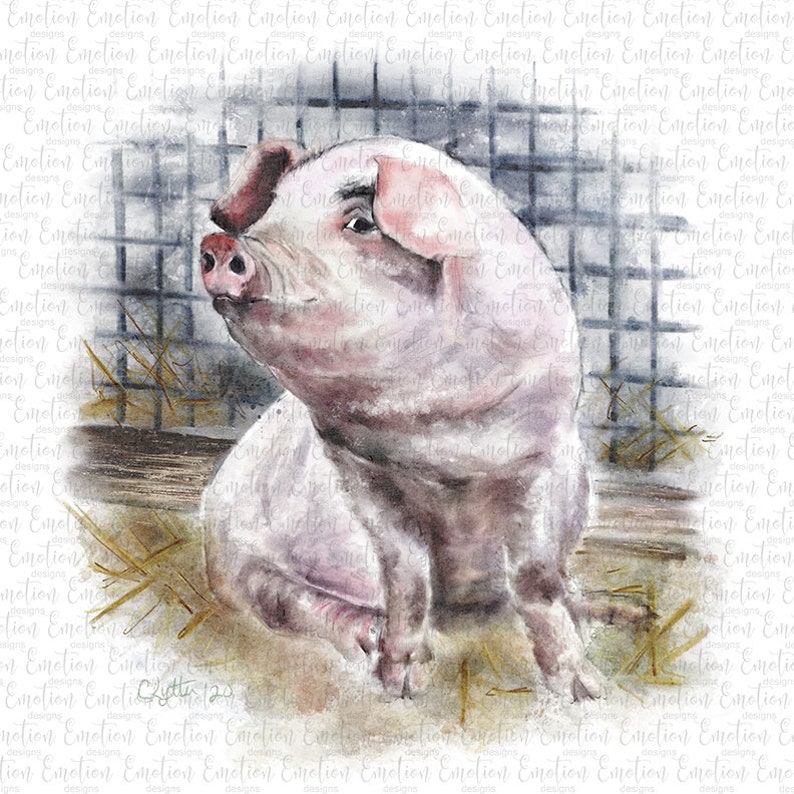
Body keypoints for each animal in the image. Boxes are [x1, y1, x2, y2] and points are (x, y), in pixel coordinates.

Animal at [199, 136, 601, 701]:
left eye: (360, 223)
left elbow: (535, 579)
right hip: (236, 561)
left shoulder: (540, 454)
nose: (219, 244)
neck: (435, 435)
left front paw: (583, 693)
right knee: (284, 602)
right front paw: (399, 687)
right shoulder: (358, 471)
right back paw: (368, 636)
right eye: (269, 216)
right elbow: (405, 576)